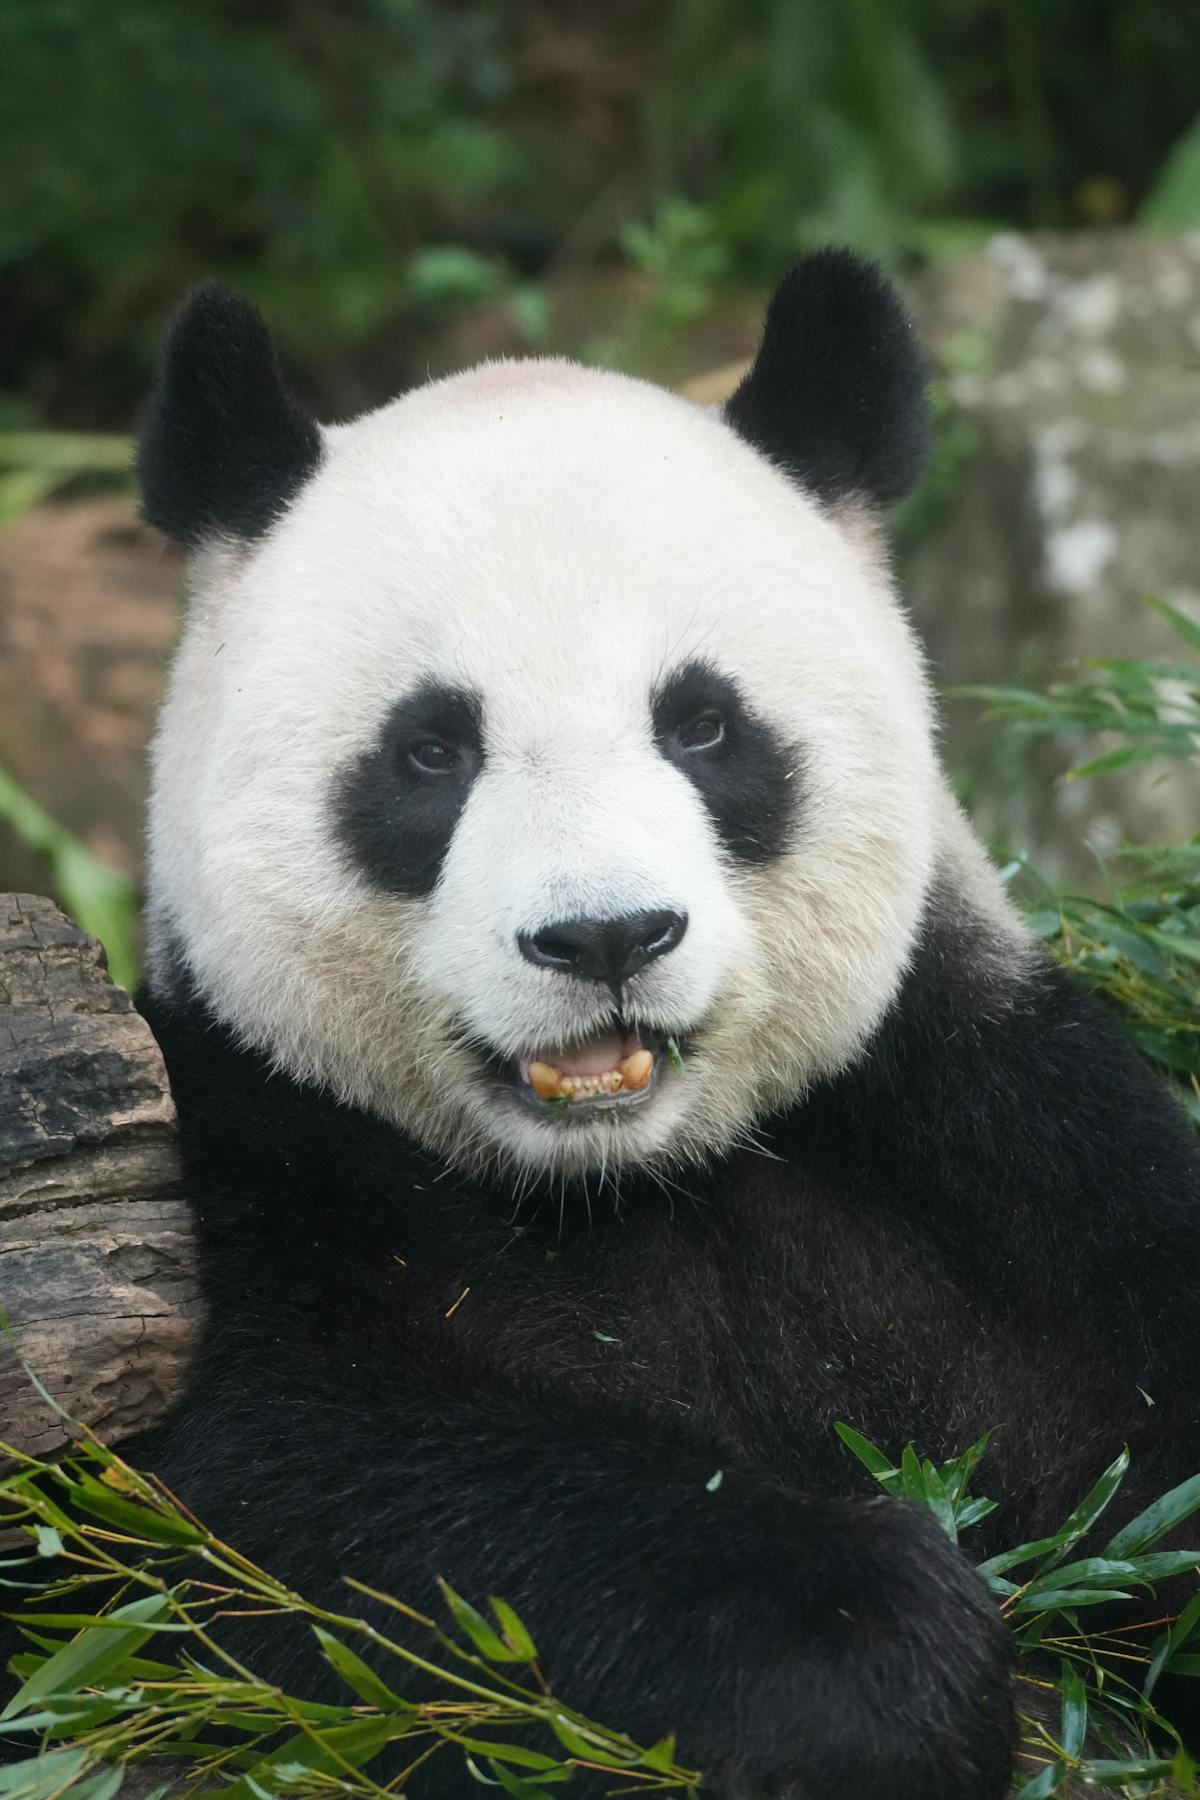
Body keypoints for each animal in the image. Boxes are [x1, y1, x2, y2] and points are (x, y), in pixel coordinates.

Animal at [117, 251, 1199, 1799]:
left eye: (702, 726)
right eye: (431, 750)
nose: (605, 937)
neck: (636, 1180)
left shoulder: (993, 1134)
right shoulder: (241, 1172)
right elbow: (339, 1503)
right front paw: (881, 1649)